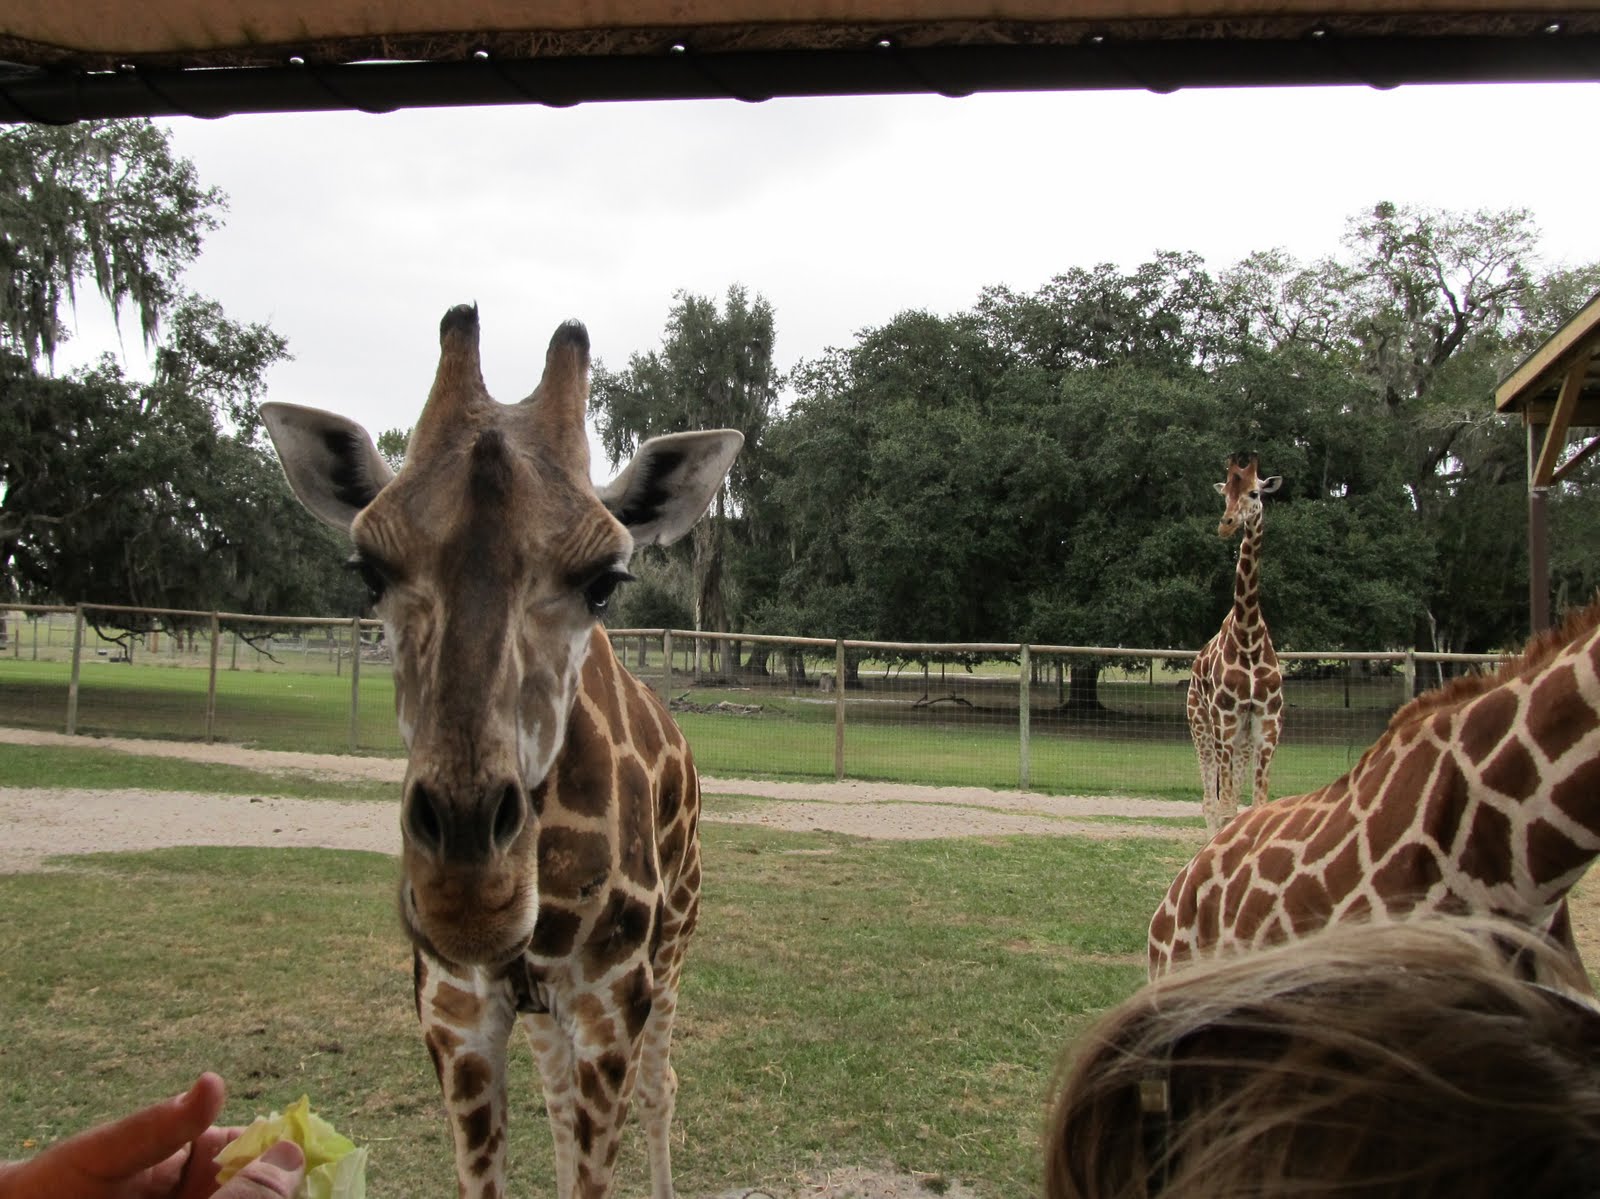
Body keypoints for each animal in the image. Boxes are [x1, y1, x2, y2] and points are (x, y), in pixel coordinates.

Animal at [261, 304, 742, 1199]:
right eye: (368, 569)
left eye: (606, 579)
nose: (467, 885)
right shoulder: (455, 1011)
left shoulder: (609, 1005)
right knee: (554, 1097)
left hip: (675, 946)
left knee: (662, 1085)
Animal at [1187, 453, 1284, 833]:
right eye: (1225, 493)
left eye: (1255, 493)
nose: (1226, 524)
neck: (1248, 635)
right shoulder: (1225, 722)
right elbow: (1225, 806)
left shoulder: (1267, 725)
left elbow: (1257, 804)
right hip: (1202, 726)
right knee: (1210, 801)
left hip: (1242, 738)